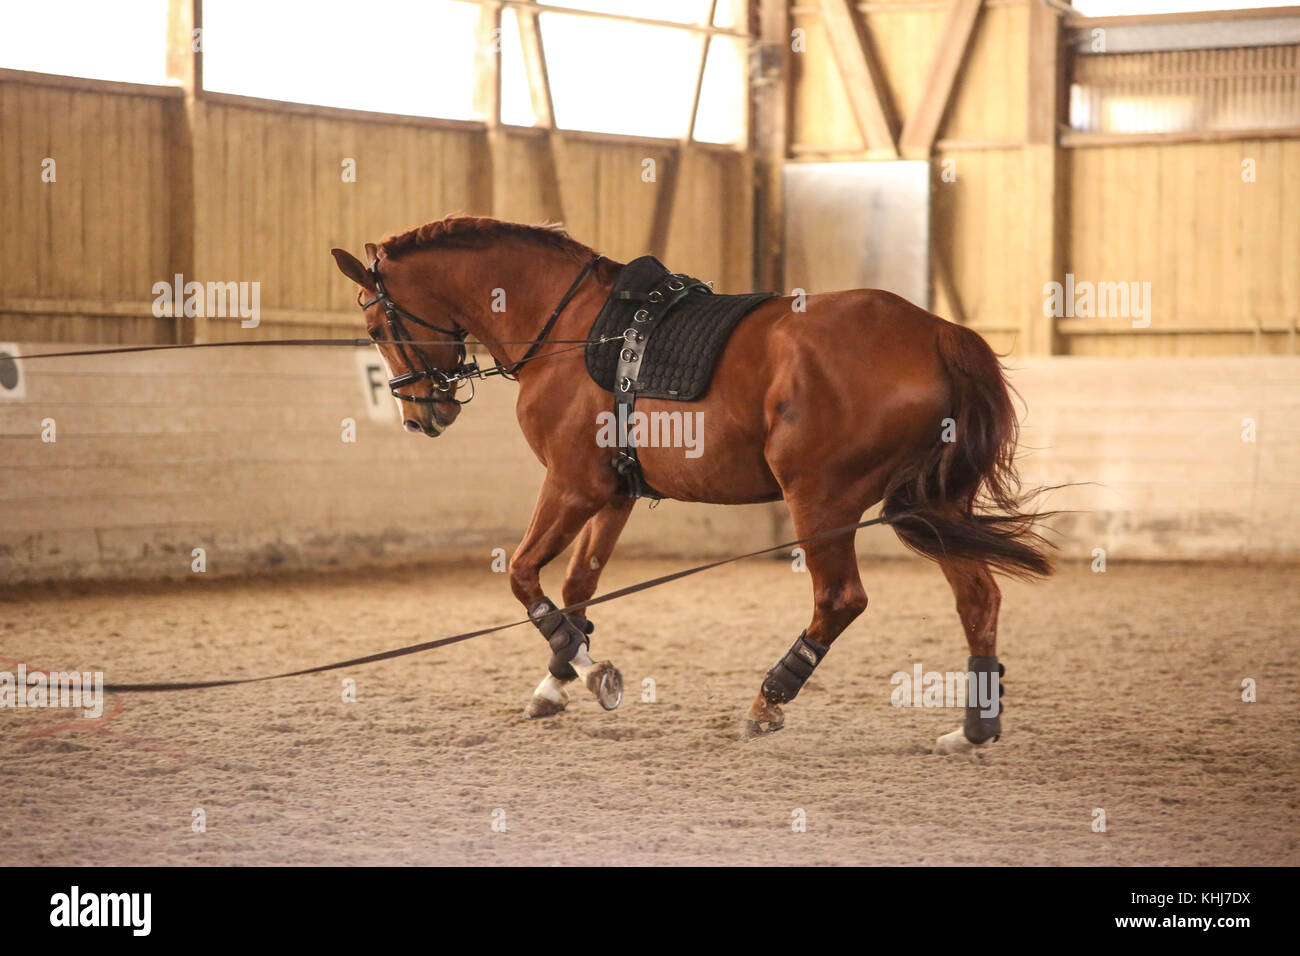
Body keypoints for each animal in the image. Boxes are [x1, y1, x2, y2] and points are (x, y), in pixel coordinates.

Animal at [330, 215, 1051, 753]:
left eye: (374, 327)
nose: (422, 415)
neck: (569, 328)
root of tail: (937, 333)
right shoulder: (612, 494)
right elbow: (578, 585)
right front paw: (557, 680)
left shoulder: (570, 485)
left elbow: (525, 576)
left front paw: (590, 672)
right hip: (929, 506)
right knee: (978, 598)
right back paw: (974, 728)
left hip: (821, 499)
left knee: (840, 598)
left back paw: (769, 699)